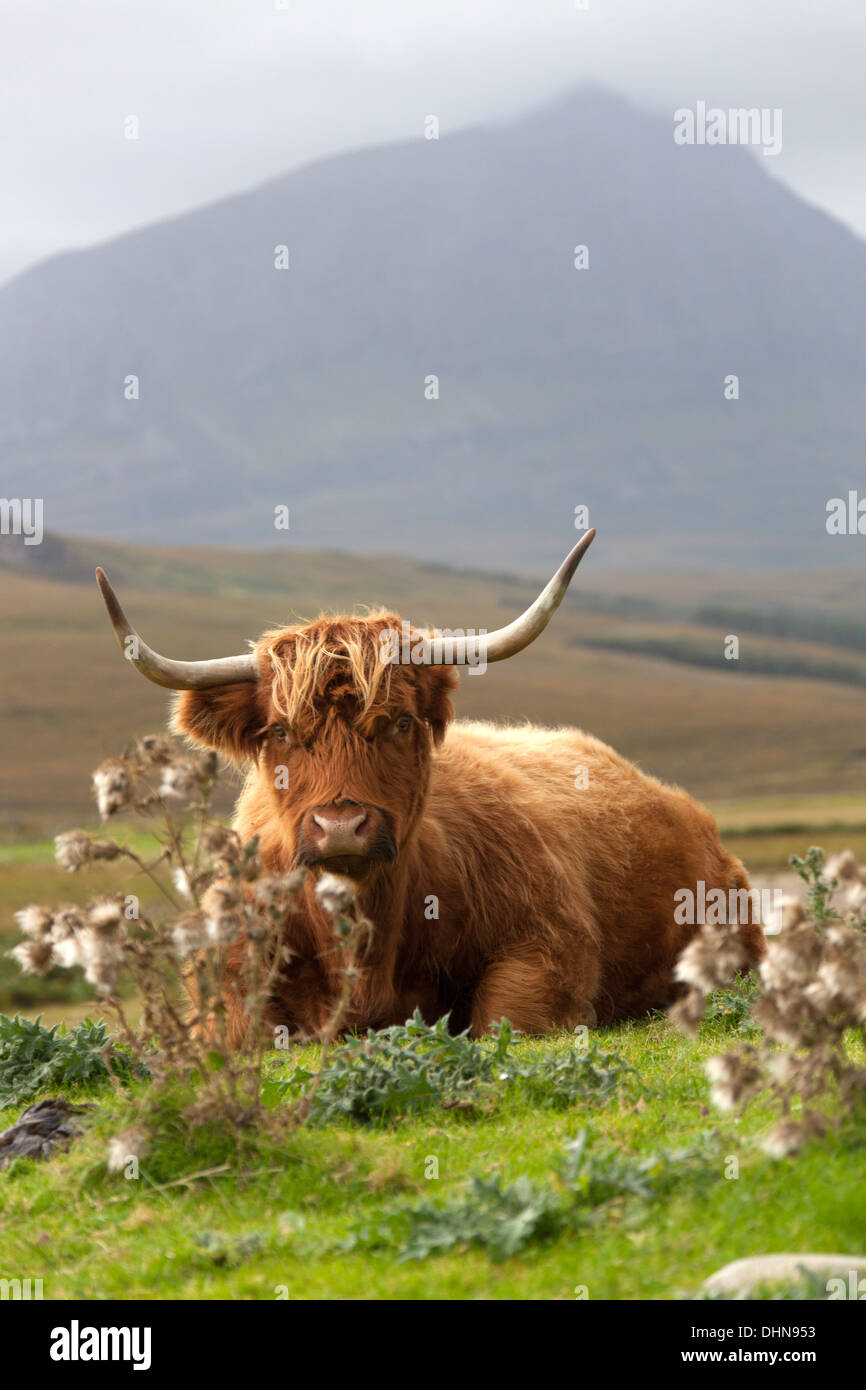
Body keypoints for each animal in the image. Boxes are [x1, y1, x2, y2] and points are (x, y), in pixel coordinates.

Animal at [95, 531, 764, 1045]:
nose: (341, 826)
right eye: (281, 730)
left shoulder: (548, 947)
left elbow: (505, 1020)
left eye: (399, 721)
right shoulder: (229, 974)